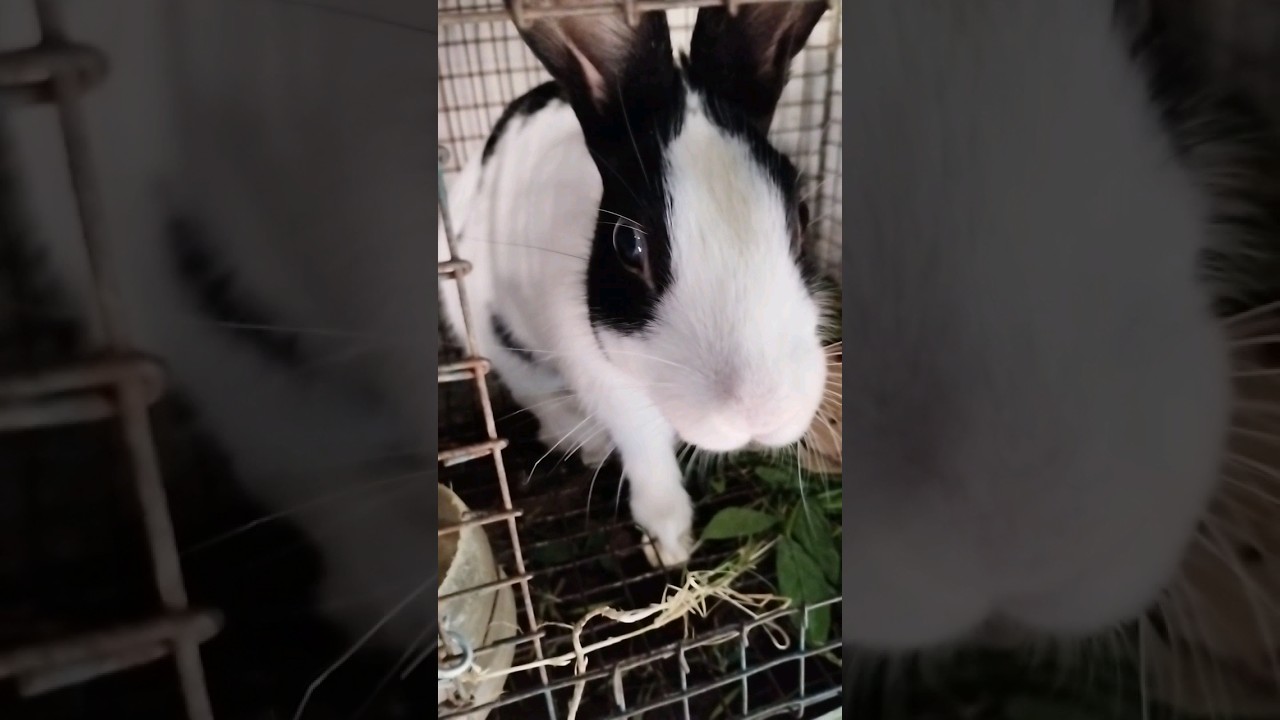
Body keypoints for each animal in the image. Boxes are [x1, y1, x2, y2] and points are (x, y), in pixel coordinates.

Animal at [439, 1, 834, 568]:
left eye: (801, 214)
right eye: (628, 244)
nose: (761, 412)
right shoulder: (605, 377)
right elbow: (645, 449)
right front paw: (669, 542)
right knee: (534, 393)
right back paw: (586, 442)